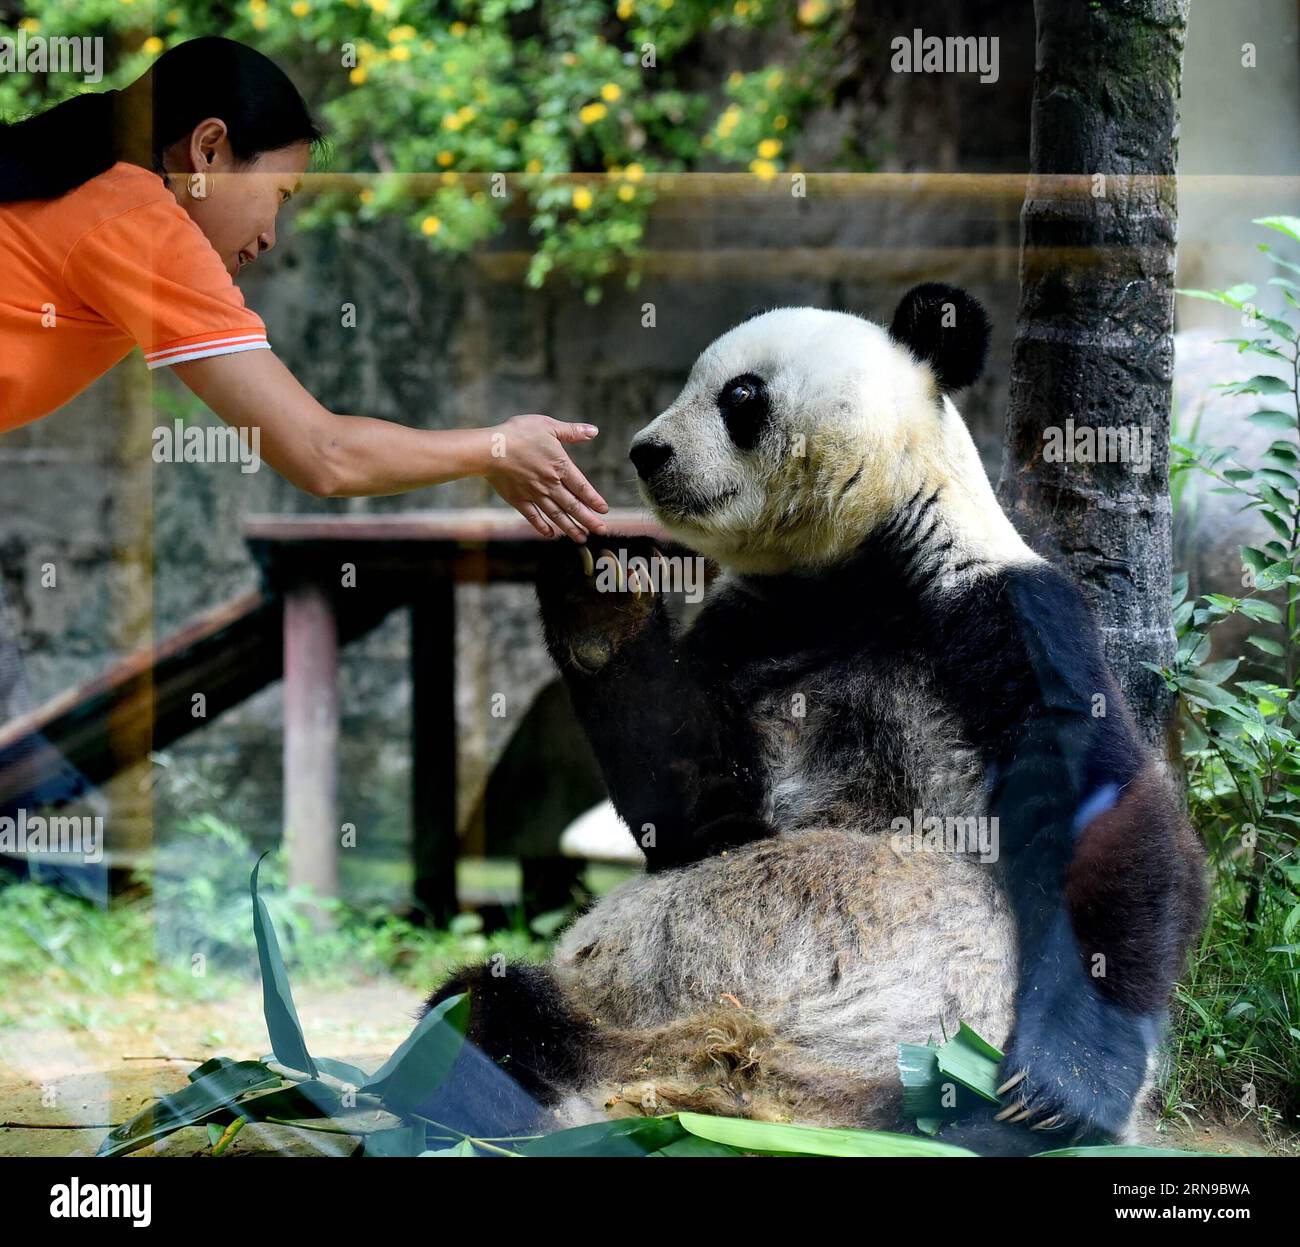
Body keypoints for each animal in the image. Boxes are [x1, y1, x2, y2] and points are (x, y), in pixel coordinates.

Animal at [424, 284, 1208, 1154]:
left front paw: (1058, 1085)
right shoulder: (750, 631)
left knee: (970, 1120)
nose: (645, 452)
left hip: (911, 1069)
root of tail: (732, 1087)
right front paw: (601, 589)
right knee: (486, 1009)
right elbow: (702, 821)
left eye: (739, 396)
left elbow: (1106, 814)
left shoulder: (1006, 616)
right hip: (612, 1018)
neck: (851, 575)